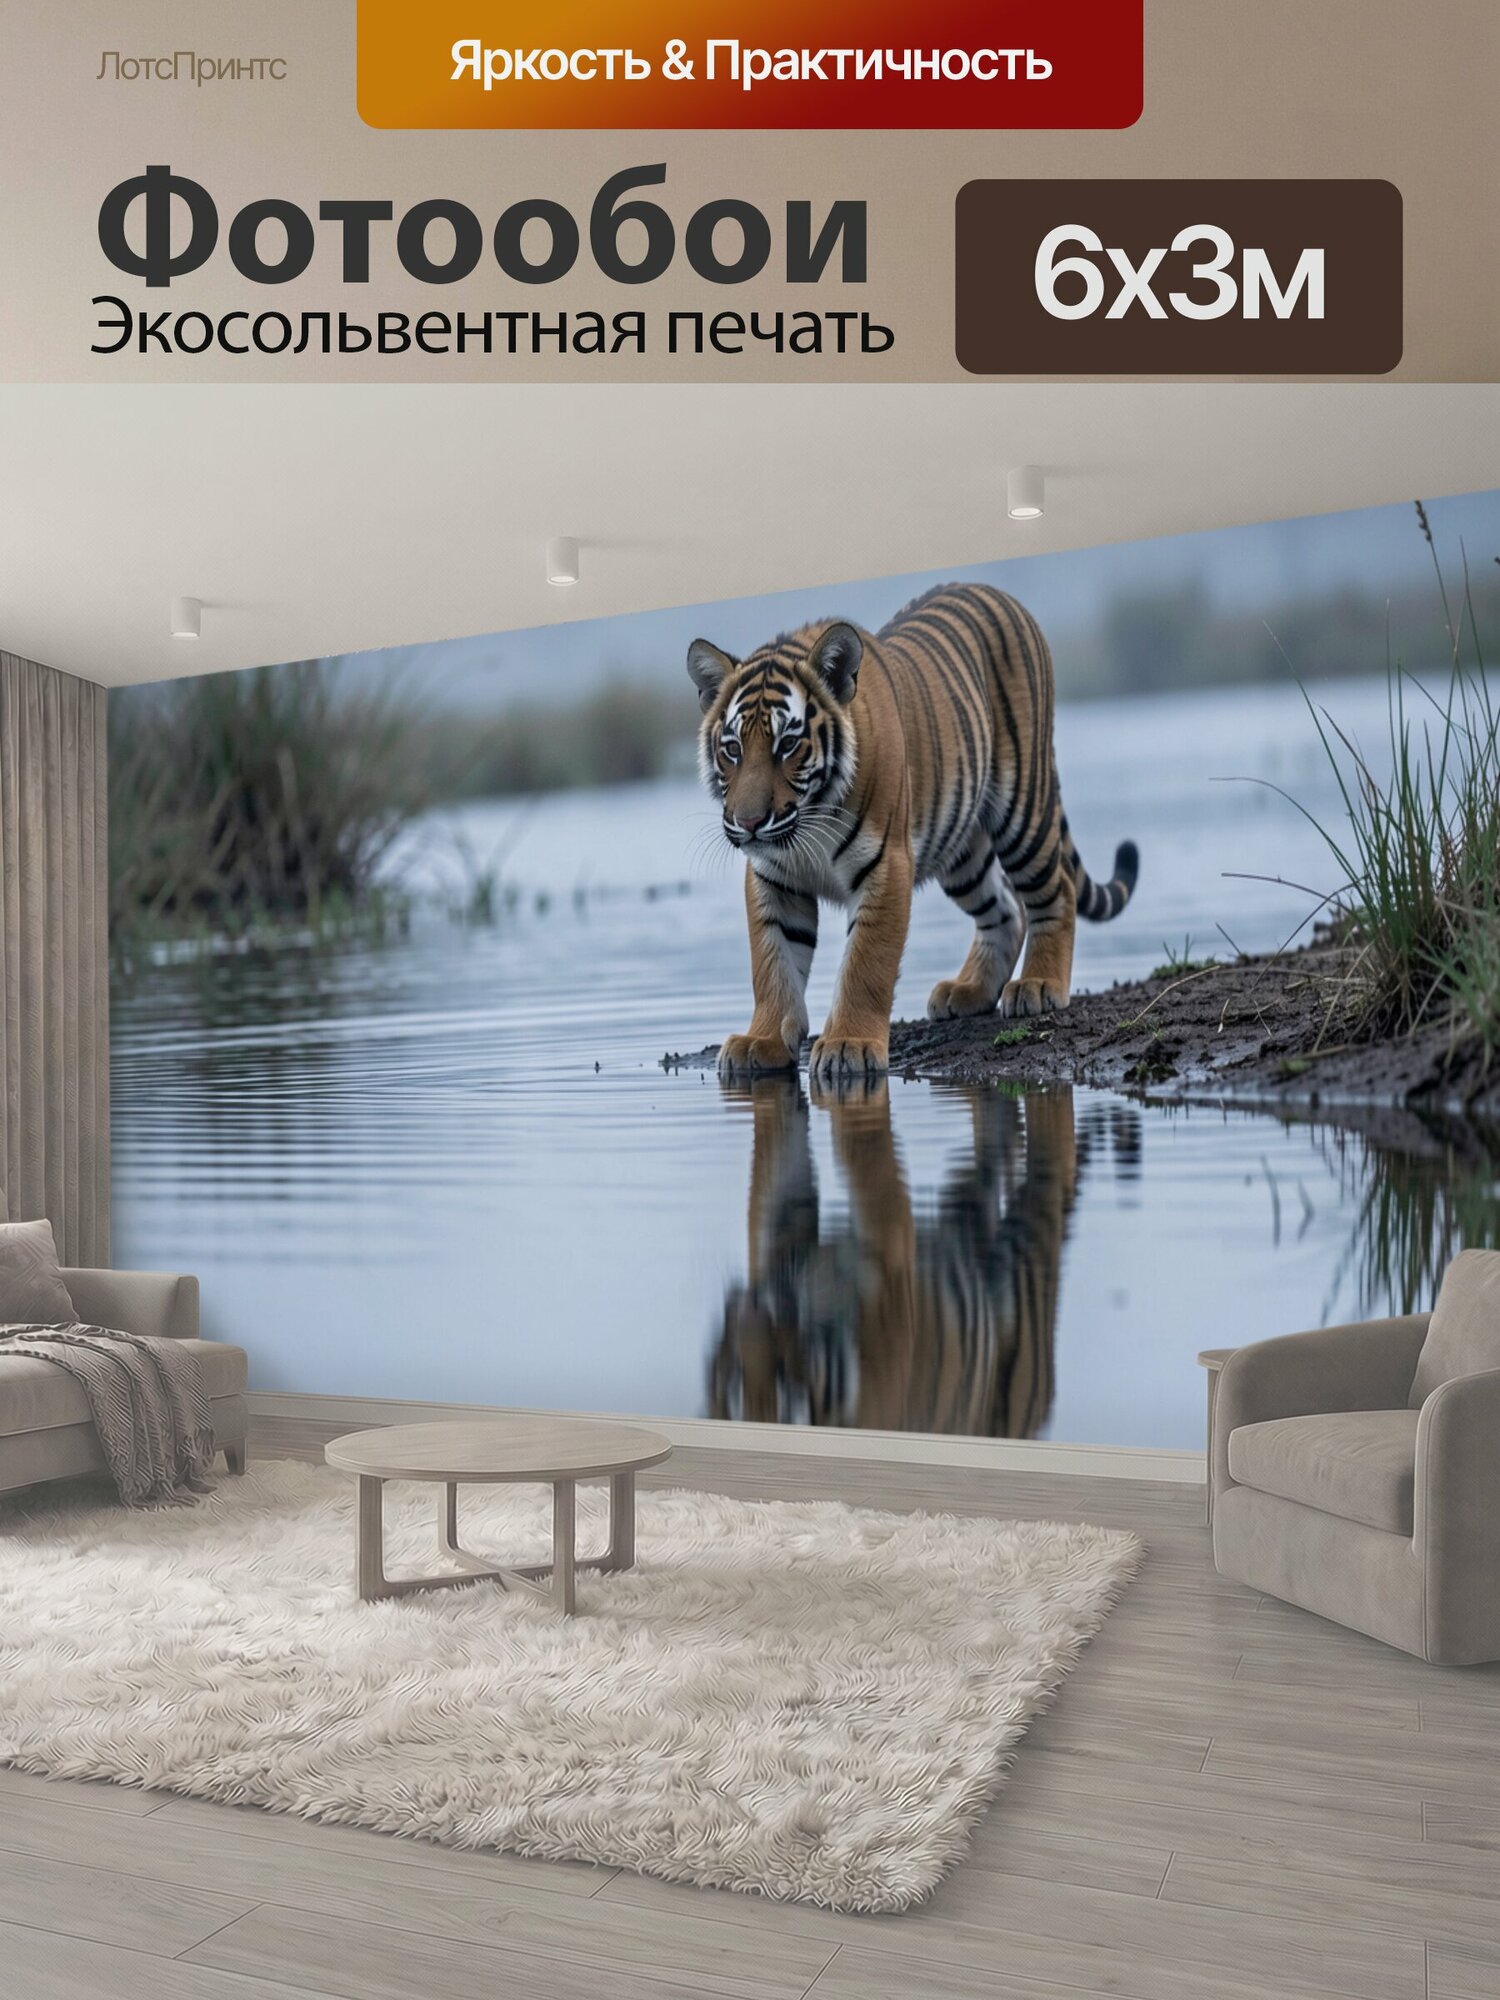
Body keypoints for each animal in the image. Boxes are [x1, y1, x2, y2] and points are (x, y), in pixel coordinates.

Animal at [688, 581, 1138, 1081]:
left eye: (788, 744)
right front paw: (761, 1042)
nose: (749, 823)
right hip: (961, 848)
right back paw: (969, 991)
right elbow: (772, 964)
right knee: (1005, 909)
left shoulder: (885, 864)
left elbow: (865, 963)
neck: (807, 823)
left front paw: (848, 1044)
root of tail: (992, 589)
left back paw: (1038, 985)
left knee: (1056, 888)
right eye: (732, 749)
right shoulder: (772, 877)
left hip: (1021, 806)